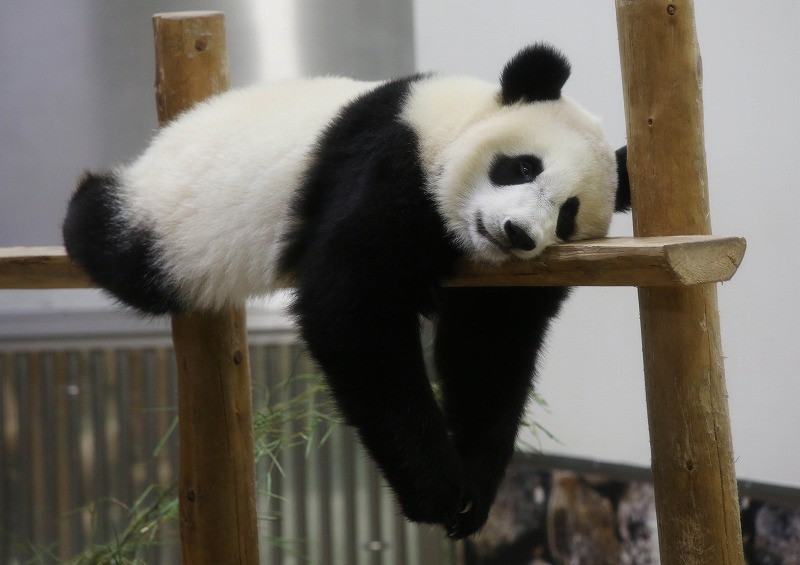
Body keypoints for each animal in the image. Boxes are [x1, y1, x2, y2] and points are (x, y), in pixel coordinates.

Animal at [63, 44, 631, 538]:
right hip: (176, 223)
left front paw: (474, 492)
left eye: (568, 215)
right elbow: (352, 310)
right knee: (124, 251)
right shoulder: (391, 163)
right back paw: (84, 204)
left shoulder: (505, 284)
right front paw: (437, 491)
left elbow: (489, 350)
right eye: (522, 166)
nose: (517, 234)